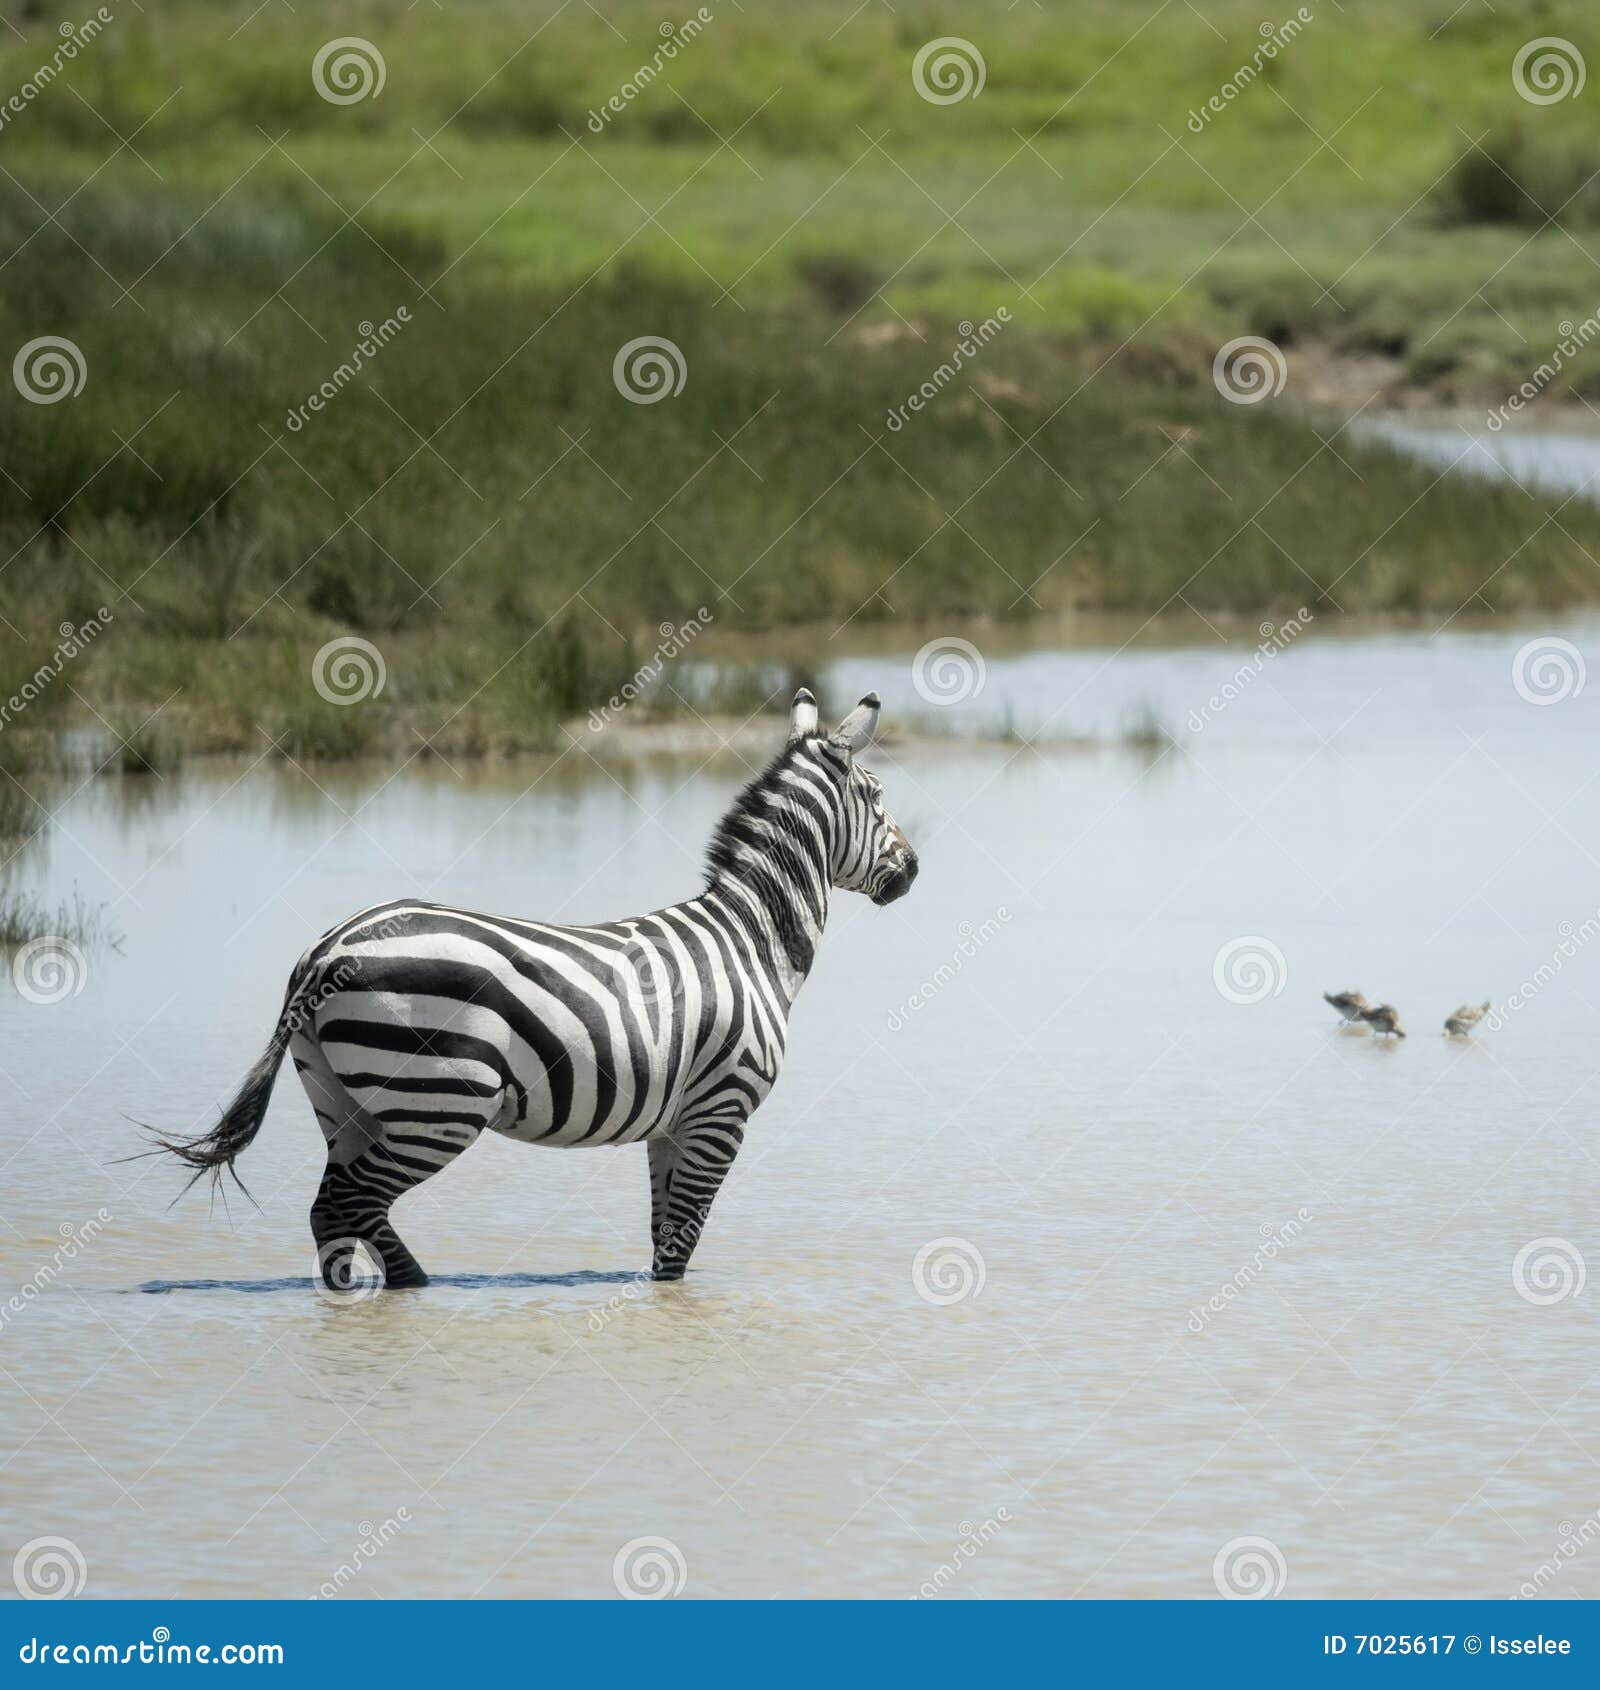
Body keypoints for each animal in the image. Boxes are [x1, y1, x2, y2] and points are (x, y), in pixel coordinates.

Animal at [156, 688, 918, 1288]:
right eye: (879, 797)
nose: (912, 871)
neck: (751, 938)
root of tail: (324, 953)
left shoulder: (675, 1121)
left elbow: (663, 1239)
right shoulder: (721, 1110)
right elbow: (681, 1240)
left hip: (343, 1100)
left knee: (339, 1212)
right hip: (436, 1105)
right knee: (348, 1207)